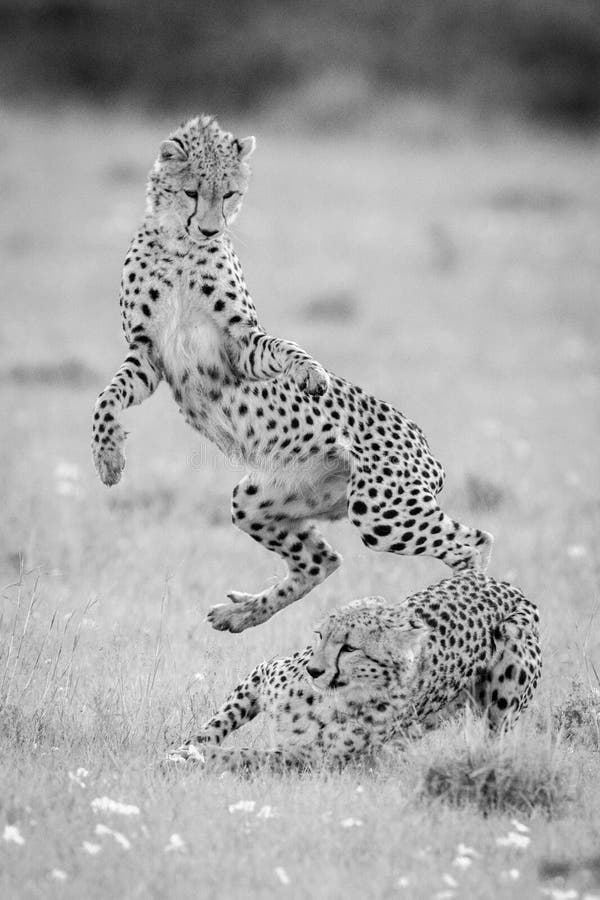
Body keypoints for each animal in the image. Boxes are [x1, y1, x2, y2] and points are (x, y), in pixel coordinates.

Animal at [91, 114, 493, 633]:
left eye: (230, 194)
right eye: (191, 192)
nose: (209, 230)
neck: (180, 247)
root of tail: (426, 447)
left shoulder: (239, 341)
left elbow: (284, 347)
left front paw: (311, 373)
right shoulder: (145, 355)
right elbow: (106, 398)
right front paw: (108, 458)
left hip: (383, 510)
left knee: (474, 541)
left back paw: (464, 610)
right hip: (258, 499)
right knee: (323, 560)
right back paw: (241, 613)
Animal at [167, 573, 542, 773]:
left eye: (349, 648)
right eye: (320, 636)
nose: (314, 670)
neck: (329, 698)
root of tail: (504, 584)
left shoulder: (313, 759)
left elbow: (248, 754)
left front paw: (199, 756)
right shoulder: (259, 676)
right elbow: (215, 724)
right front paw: (186, 748)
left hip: (505, 693)